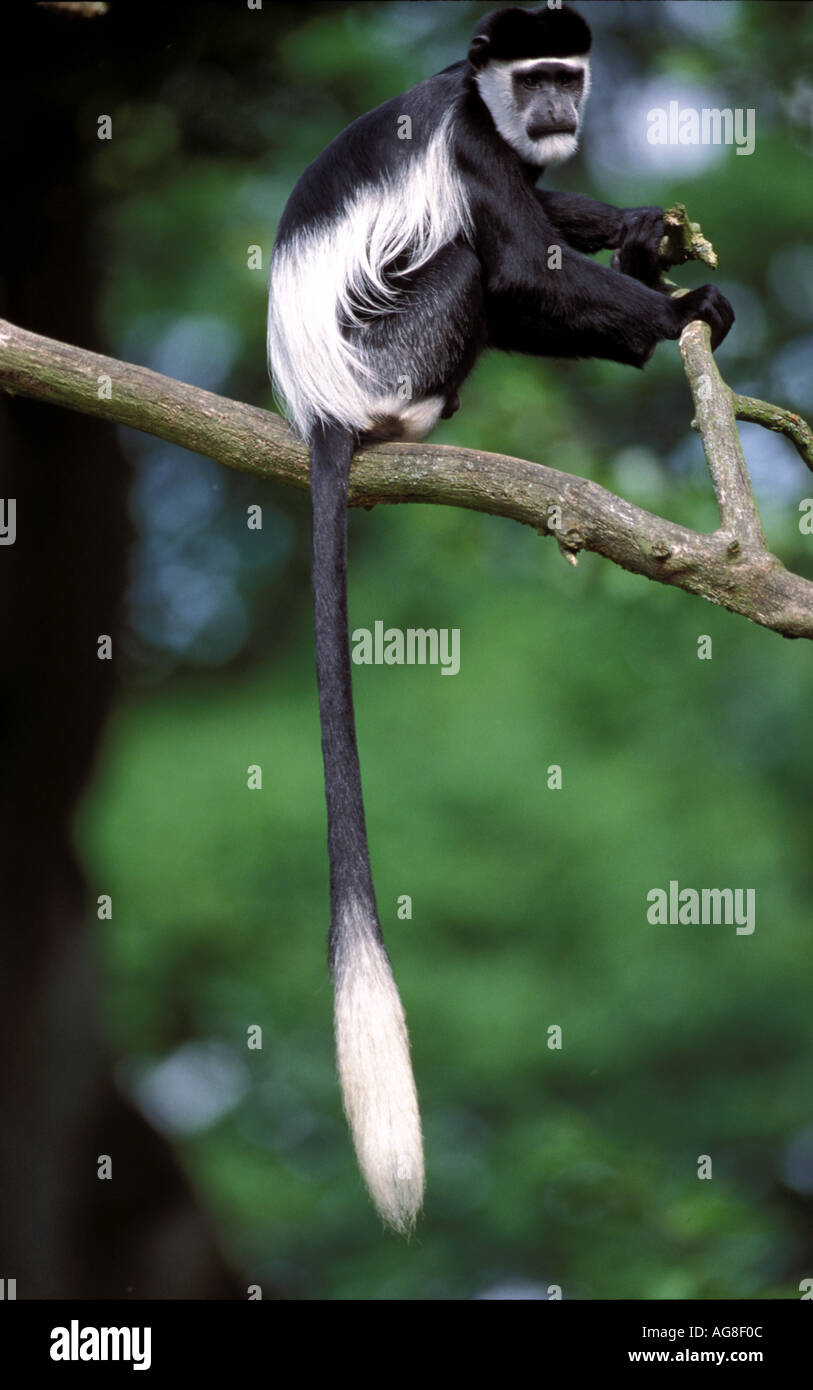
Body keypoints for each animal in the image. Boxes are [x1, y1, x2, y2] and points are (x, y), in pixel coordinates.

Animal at [267, 4, 734, 1234]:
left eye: (570, 74)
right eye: (534, 78)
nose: (559, 110)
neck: (475, 93)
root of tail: (323, 408)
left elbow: (549, 216)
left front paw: (640, 230)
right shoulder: (471, 145)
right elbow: (522, 254)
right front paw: (681, 306)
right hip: (398, 340)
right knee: (484, 267)